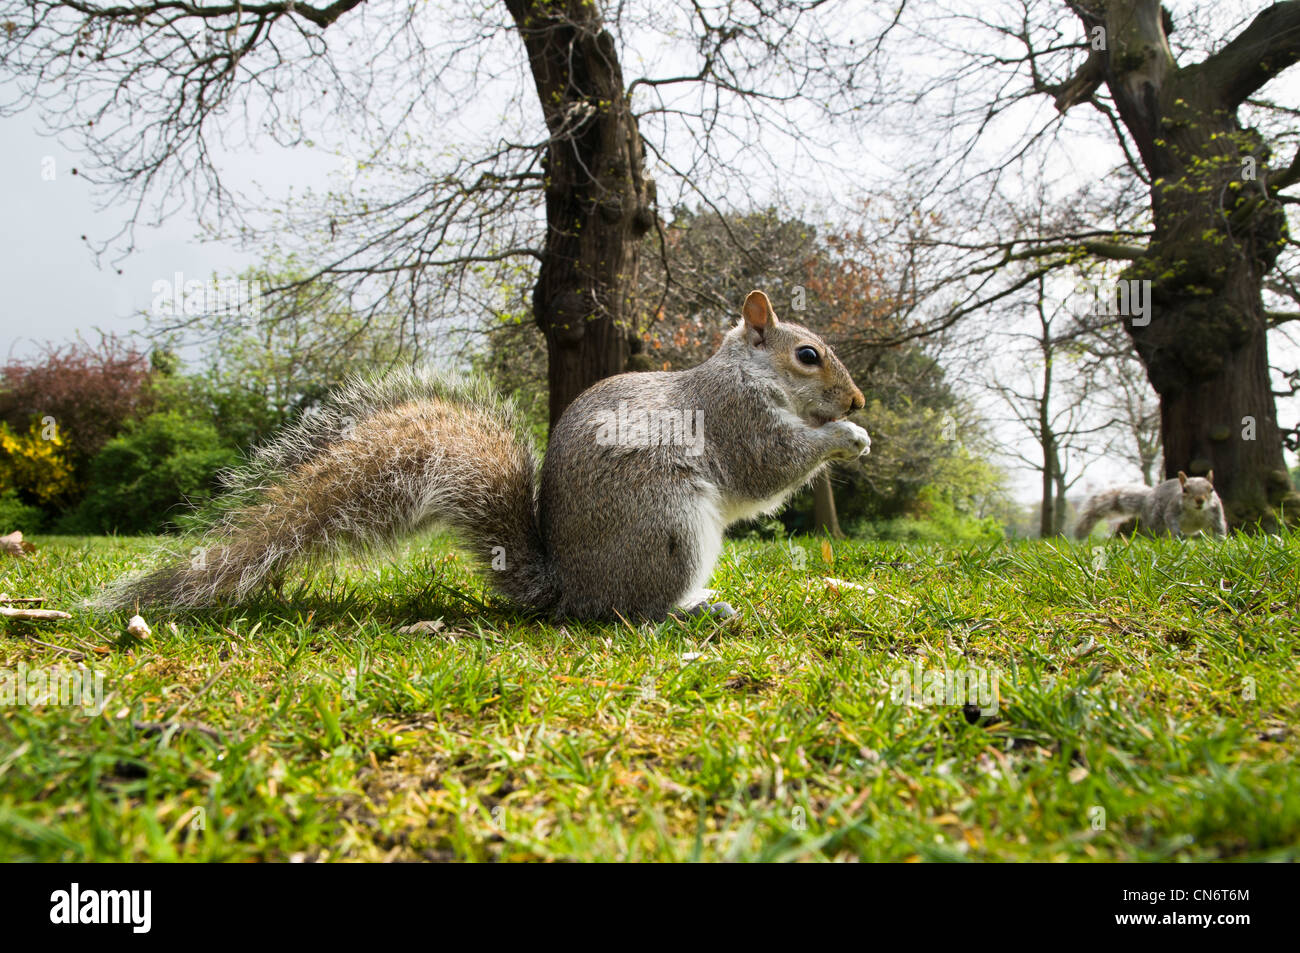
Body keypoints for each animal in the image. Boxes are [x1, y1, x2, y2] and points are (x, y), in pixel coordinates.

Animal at [97, 290, 870, 621]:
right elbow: (769, 465)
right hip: (669, 526)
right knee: (635, 612)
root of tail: (569, 591)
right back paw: (690, 611)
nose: (860, 402)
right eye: (808, 356)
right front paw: (845, 440)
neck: (746, 372)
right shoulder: (733, 419)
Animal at [1073, 471, 1227, 540]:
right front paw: (1178, 536)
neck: (1196, 513)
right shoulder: (1173, 510)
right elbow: (1171, 521)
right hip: (1155, 520)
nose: (1199, 500)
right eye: (1185, 490)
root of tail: (1147, 498)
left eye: (1211, 489)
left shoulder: (1216, 513)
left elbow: (1219, 529)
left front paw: (1221, 542)